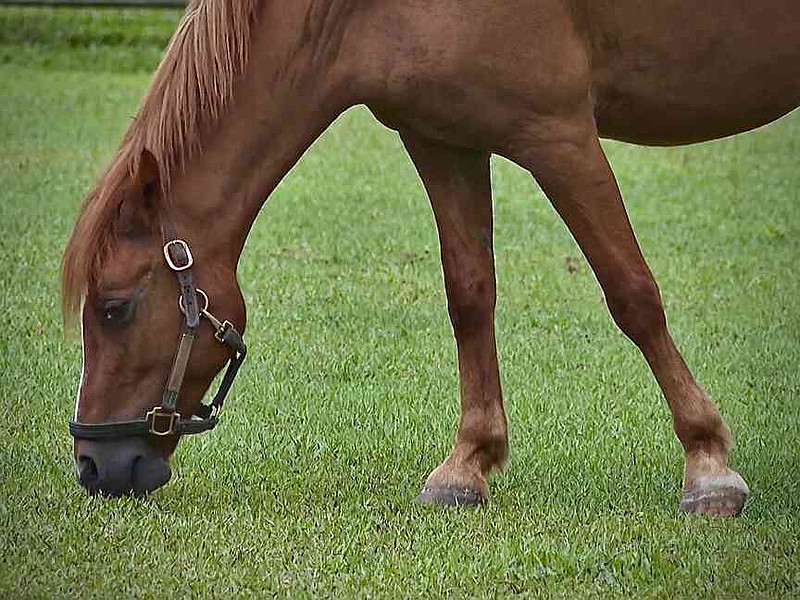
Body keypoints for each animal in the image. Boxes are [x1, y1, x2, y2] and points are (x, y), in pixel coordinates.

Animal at [63, 0, 799, 514]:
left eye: (115, 308)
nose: (93, 467)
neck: (353, 11)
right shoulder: (441, 138)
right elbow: (469, 294)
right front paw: (468, 464)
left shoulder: (559, 135)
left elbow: (632, 294)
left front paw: (708, 464)